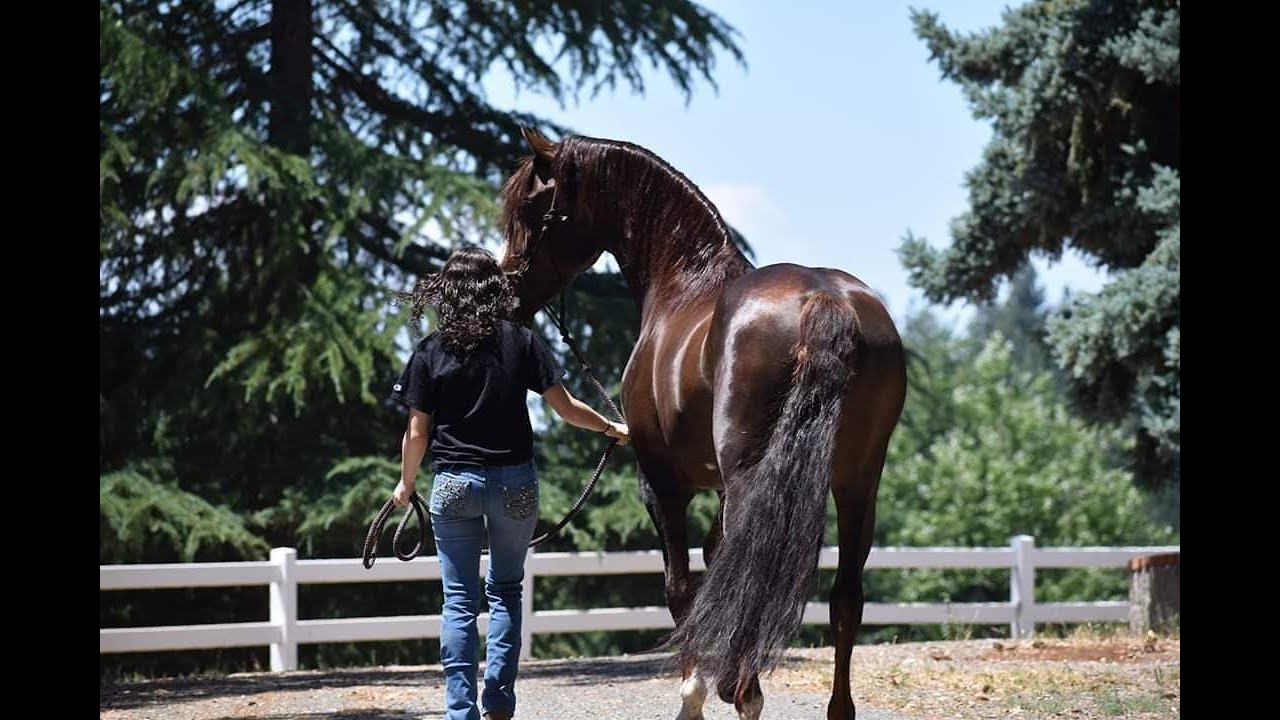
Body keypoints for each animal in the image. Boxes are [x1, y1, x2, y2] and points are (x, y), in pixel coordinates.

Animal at [498, 128, 906, 720]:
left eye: (532, 209)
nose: (505, 297)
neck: (684, 284)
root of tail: (824, 299)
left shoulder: (663, 484)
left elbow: (681, 586)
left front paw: (694, 691)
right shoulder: (718, 491)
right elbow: (716, 567)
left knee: (752, 576)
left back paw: (742, 690)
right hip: (858, 486)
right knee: (843, 596)